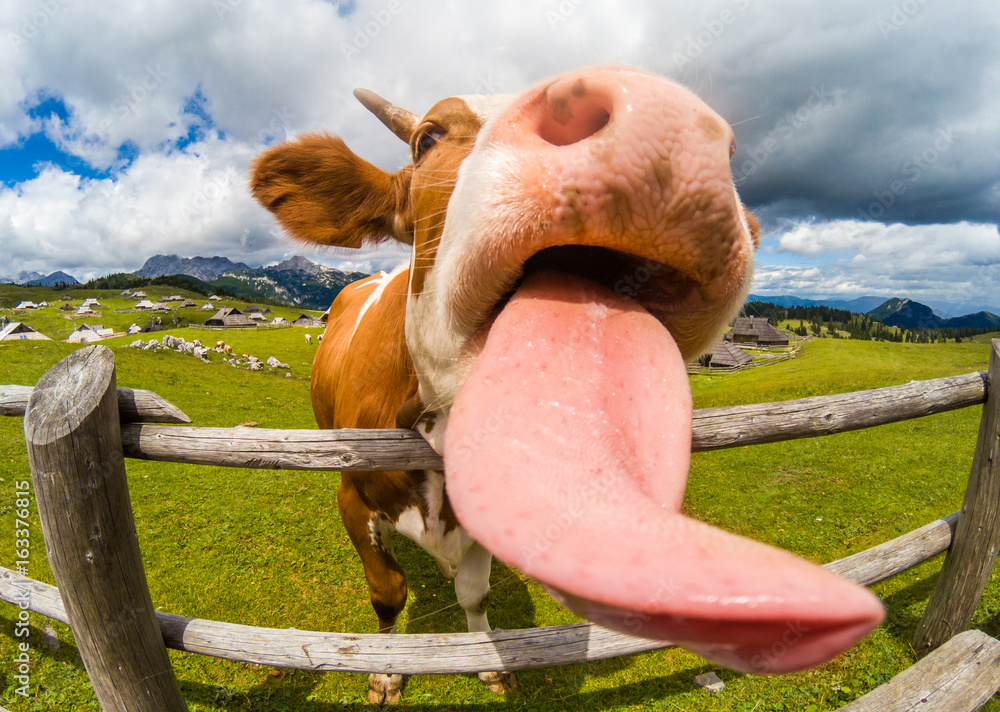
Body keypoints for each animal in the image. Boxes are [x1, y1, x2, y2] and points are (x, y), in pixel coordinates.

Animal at [251, 66, 883, 704]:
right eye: (427, 138)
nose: (663, 121)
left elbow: (474, 593)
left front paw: (487, 661)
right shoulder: (351, 497)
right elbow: (387, 594)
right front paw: (385, 672)